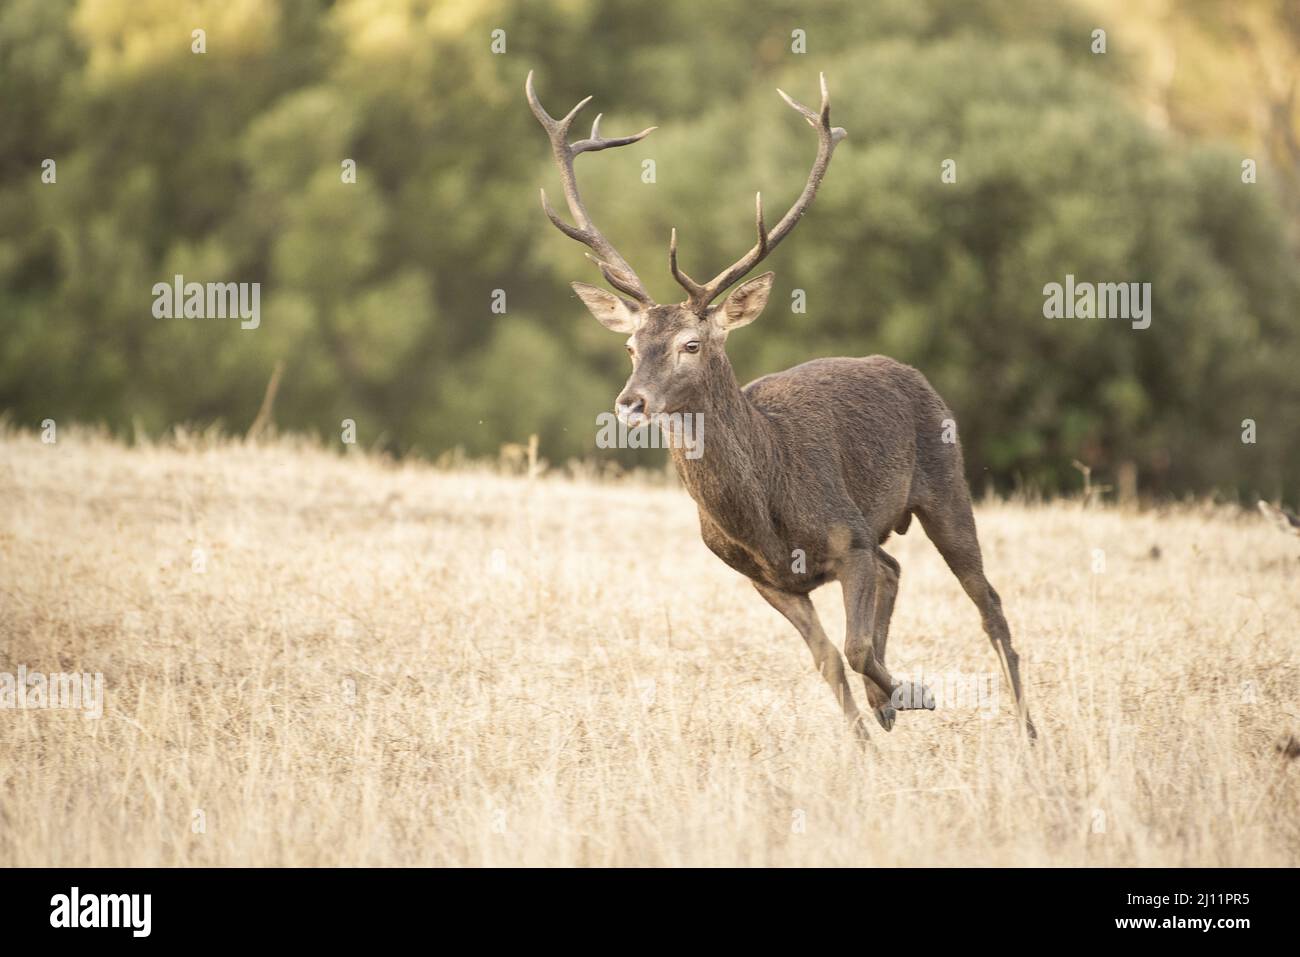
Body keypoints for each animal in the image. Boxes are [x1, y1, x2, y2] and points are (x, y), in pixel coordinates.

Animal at [526, 71, 1035, 744]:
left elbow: (855, 648)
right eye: (631, 346)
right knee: (897, 568)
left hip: (946, 485)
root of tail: (912, 372)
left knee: (988, 603)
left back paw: (1027, 732)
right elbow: (830, 661)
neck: (766, 512)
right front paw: (868, 735)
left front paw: (913, 693)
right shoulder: (764, 579)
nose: (630, 403)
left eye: (691, 344)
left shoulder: (847, 537)